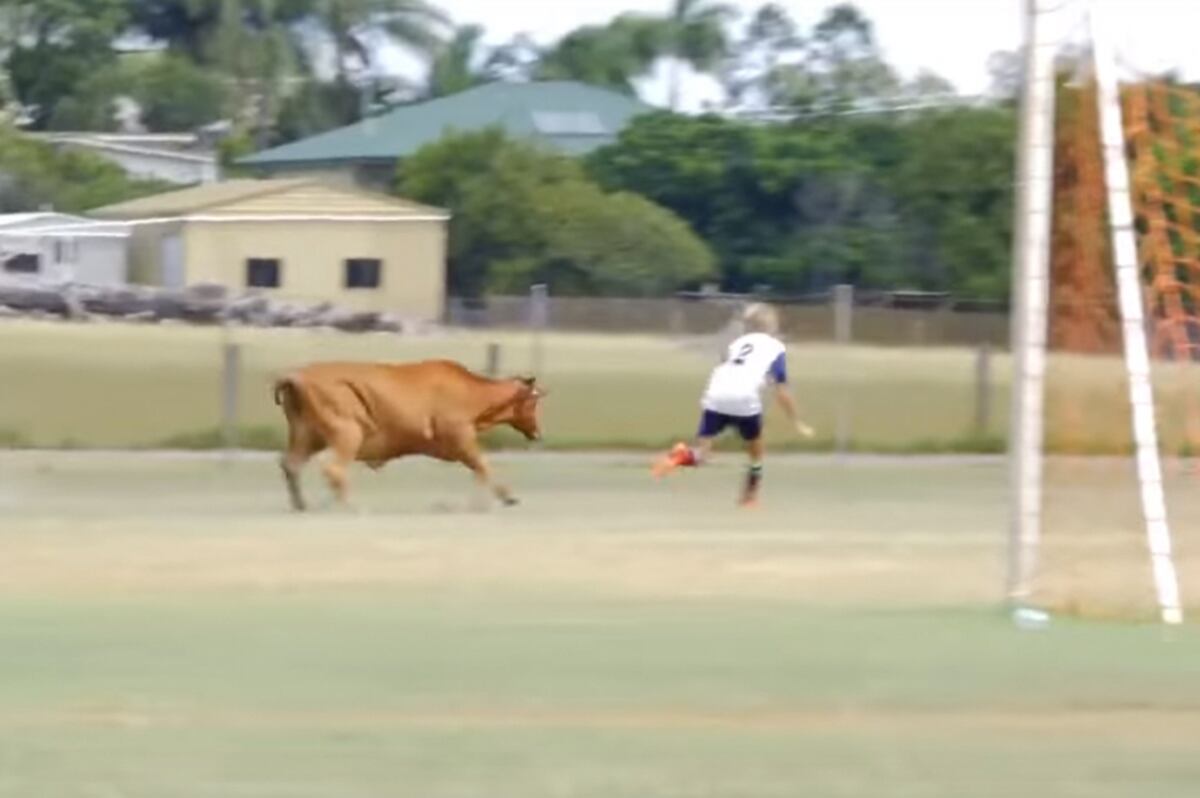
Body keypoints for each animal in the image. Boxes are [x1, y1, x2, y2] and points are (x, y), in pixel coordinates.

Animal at [272, 359, 547, 512]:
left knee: (291, 464)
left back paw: (302, 505)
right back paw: (352, 507)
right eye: (532, 401)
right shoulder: (462, 440)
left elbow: (481, 469)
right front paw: (498, 499)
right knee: (334, 470)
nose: (537, 433)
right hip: (348, 434)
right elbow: (484, 467)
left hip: (307, 436)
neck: (473, 391)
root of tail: (295, 377)